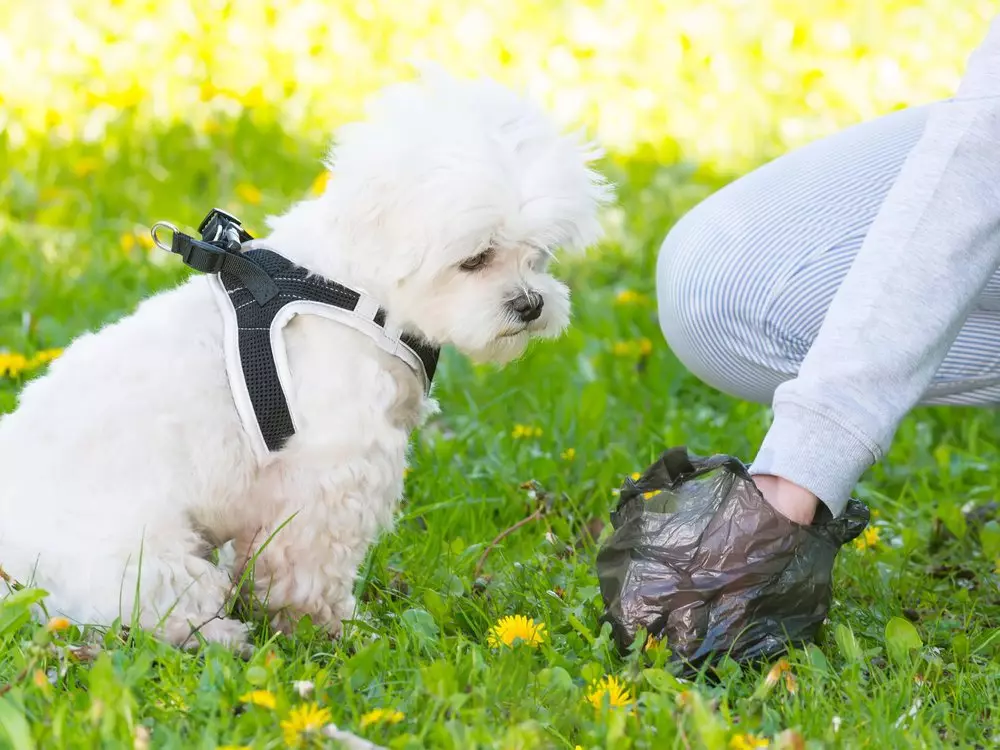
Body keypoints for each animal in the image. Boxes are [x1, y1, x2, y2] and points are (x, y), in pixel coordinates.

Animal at [0, 69, 608, 652]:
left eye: (539, 254)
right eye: (476, 258)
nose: (530, 304)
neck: (354, 289)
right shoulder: (330, 474)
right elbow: (309, 568)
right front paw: (329, 628)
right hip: (144, 557)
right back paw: (220, 636)